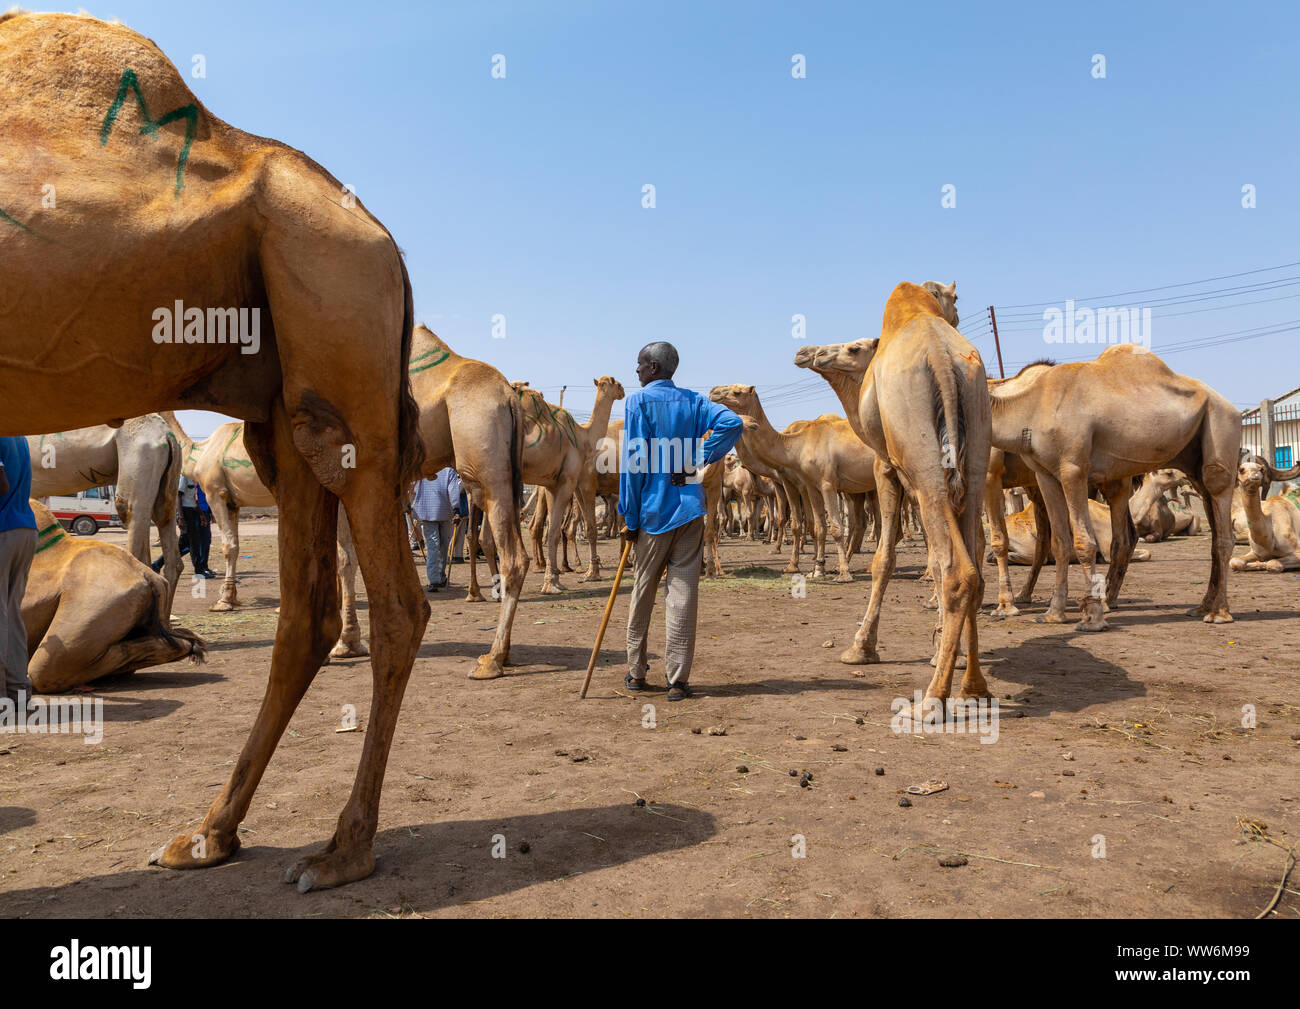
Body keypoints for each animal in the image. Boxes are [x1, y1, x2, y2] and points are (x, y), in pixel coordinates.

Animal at [795, 281, 992, 704]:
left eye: (853, 348)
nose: (806, 353)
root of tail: (942, 358)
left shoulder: (885, 466)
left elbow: (884, 557)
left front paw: (861, 647)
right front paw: (941, 648)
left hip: (923, 462)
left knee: (954, 570)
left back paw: (931, 700)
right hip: (973, 453)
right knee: (972, 564)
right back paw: (973, 686)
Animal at [987, 346, 1240, 629]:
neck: (1029, 405)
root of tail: (1230, 407)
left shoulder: (1072, 469)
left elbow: (1083, 541)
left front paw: (1091, 619)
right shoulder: (1045, 475)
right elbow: (1060, 542)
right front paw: (1053, 613)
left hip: (1220, 431)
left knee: (1221, 519)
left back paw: (1218, 613)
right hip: (1191, 460)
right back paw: (1201, 606)